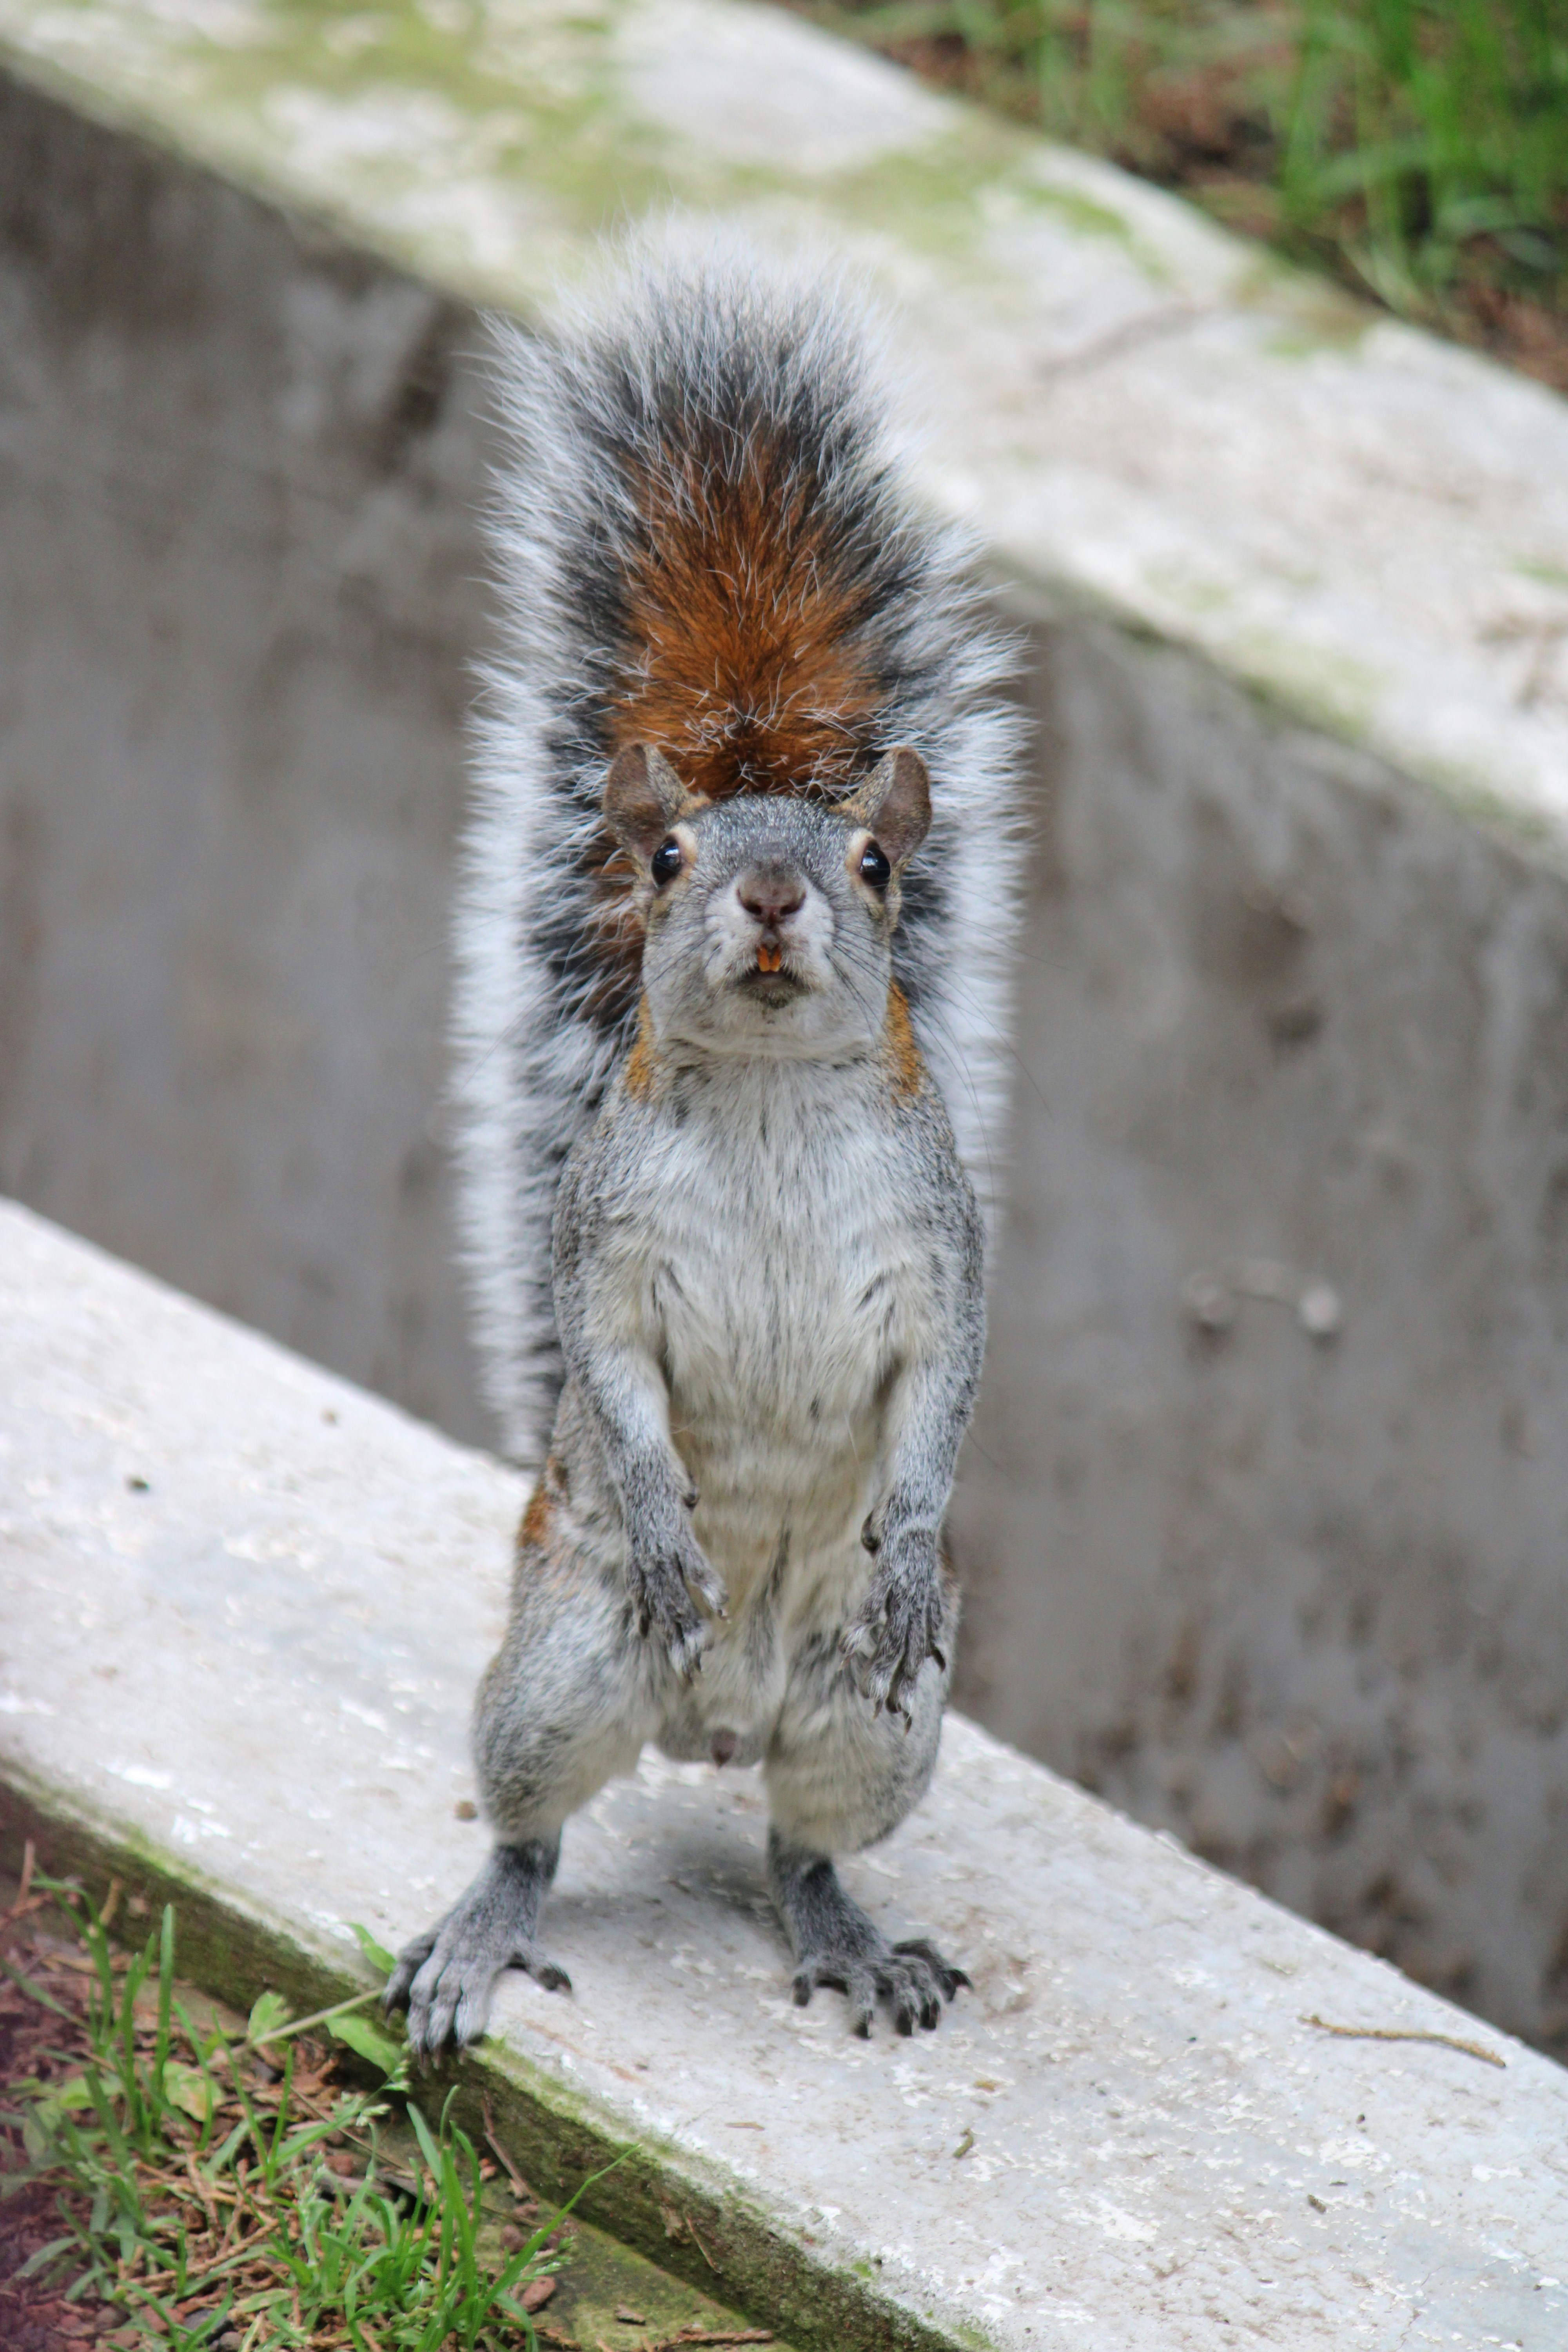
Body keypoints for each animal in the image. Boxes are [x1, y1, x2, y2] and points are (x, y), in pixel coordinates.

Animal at [386, 235, 1026, 2053]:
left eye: (874, 868)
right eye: (665, 859)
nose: (768, 894)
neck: (763, 1108)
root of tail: (715, 1720)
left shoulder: (938, 1246)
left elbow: (946, 1382)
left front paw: (913, 1528)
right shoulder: (602, 1247)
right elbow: (606, 1365)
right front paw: (675, 1519)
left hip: (877, 1723)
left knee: (799, 1842)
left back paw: (849, 1936)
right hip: (565, 1663)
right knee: (530, 1815)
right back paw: (485, 1924)